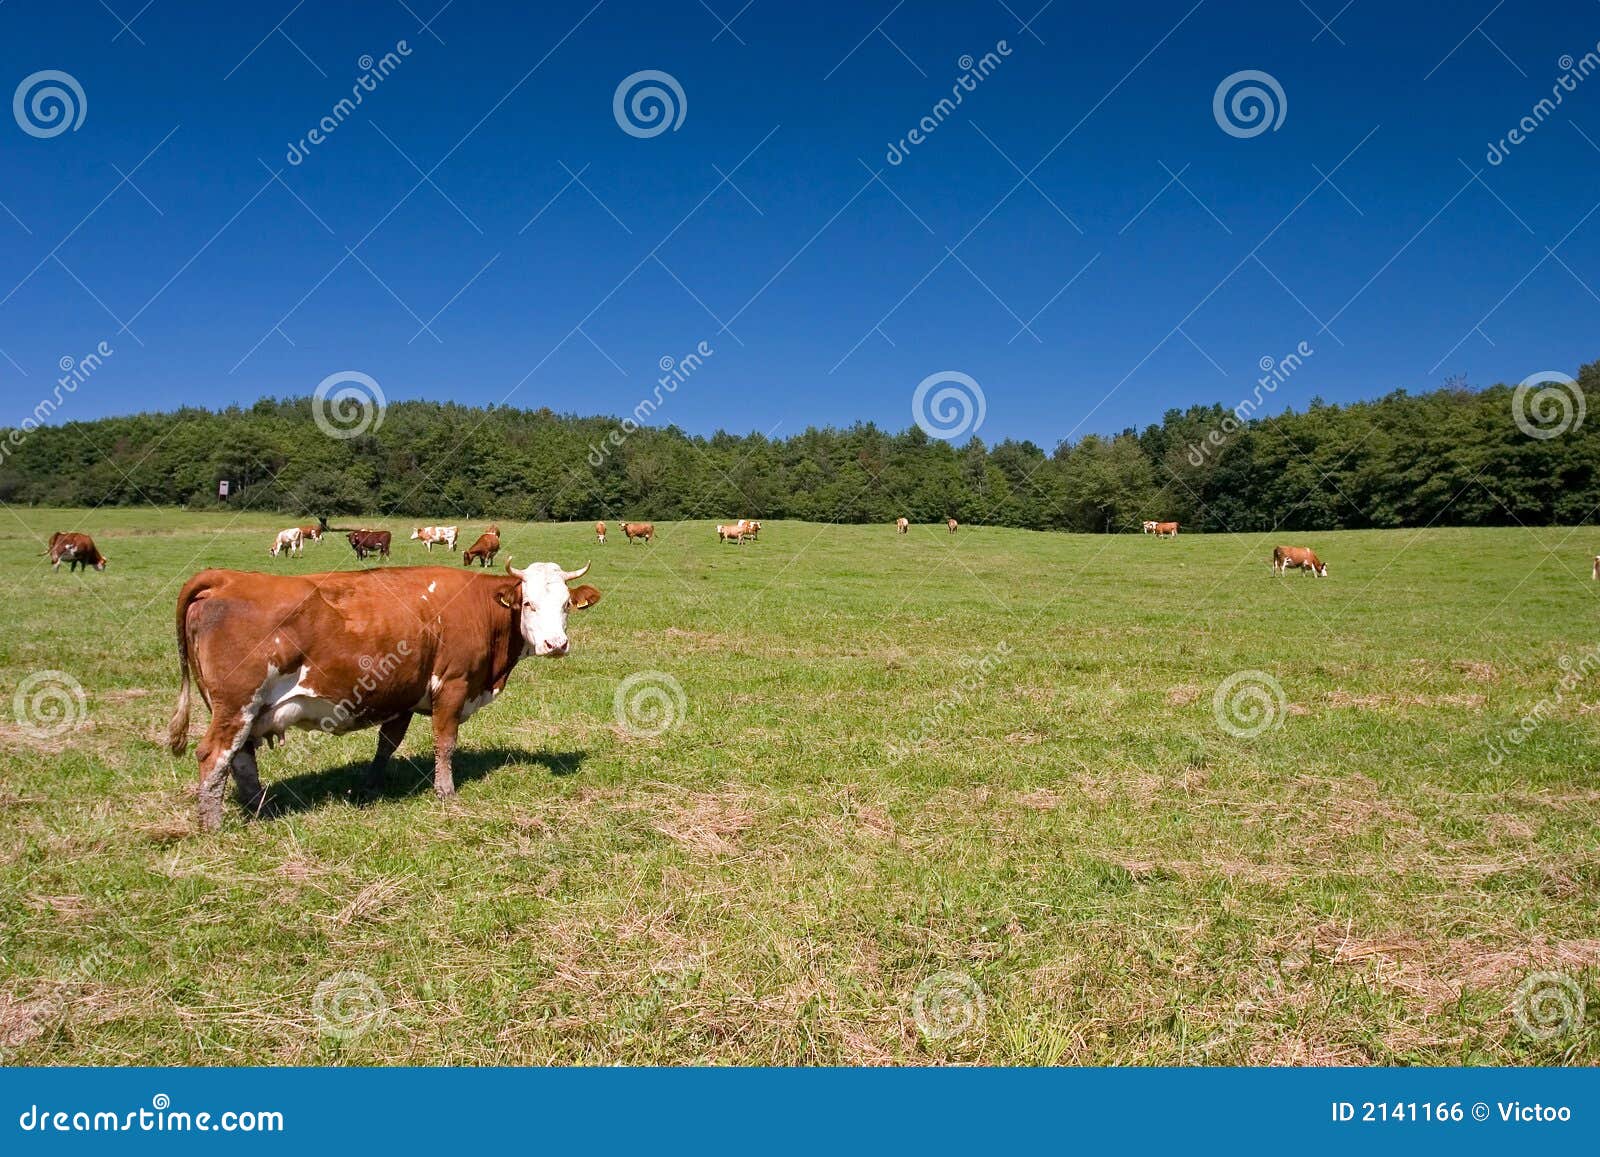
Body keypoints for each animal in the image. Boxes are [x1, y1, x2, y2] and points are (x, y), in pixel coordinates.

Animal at [166, 559, 601, 831]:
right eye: (528, 603)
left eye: (566, 604)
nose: (556, 644)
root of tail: (226, 578)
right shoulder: (453, 684)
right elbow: (445, 743)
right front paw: (445, 792)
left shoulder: (402, 693)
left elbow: (387, 744)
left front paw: (369, 785)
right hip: (237, 705)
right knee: (214, 757)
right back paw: (214, 827)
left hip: (244, 710)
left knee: (240, 759)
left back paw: (261, 809)